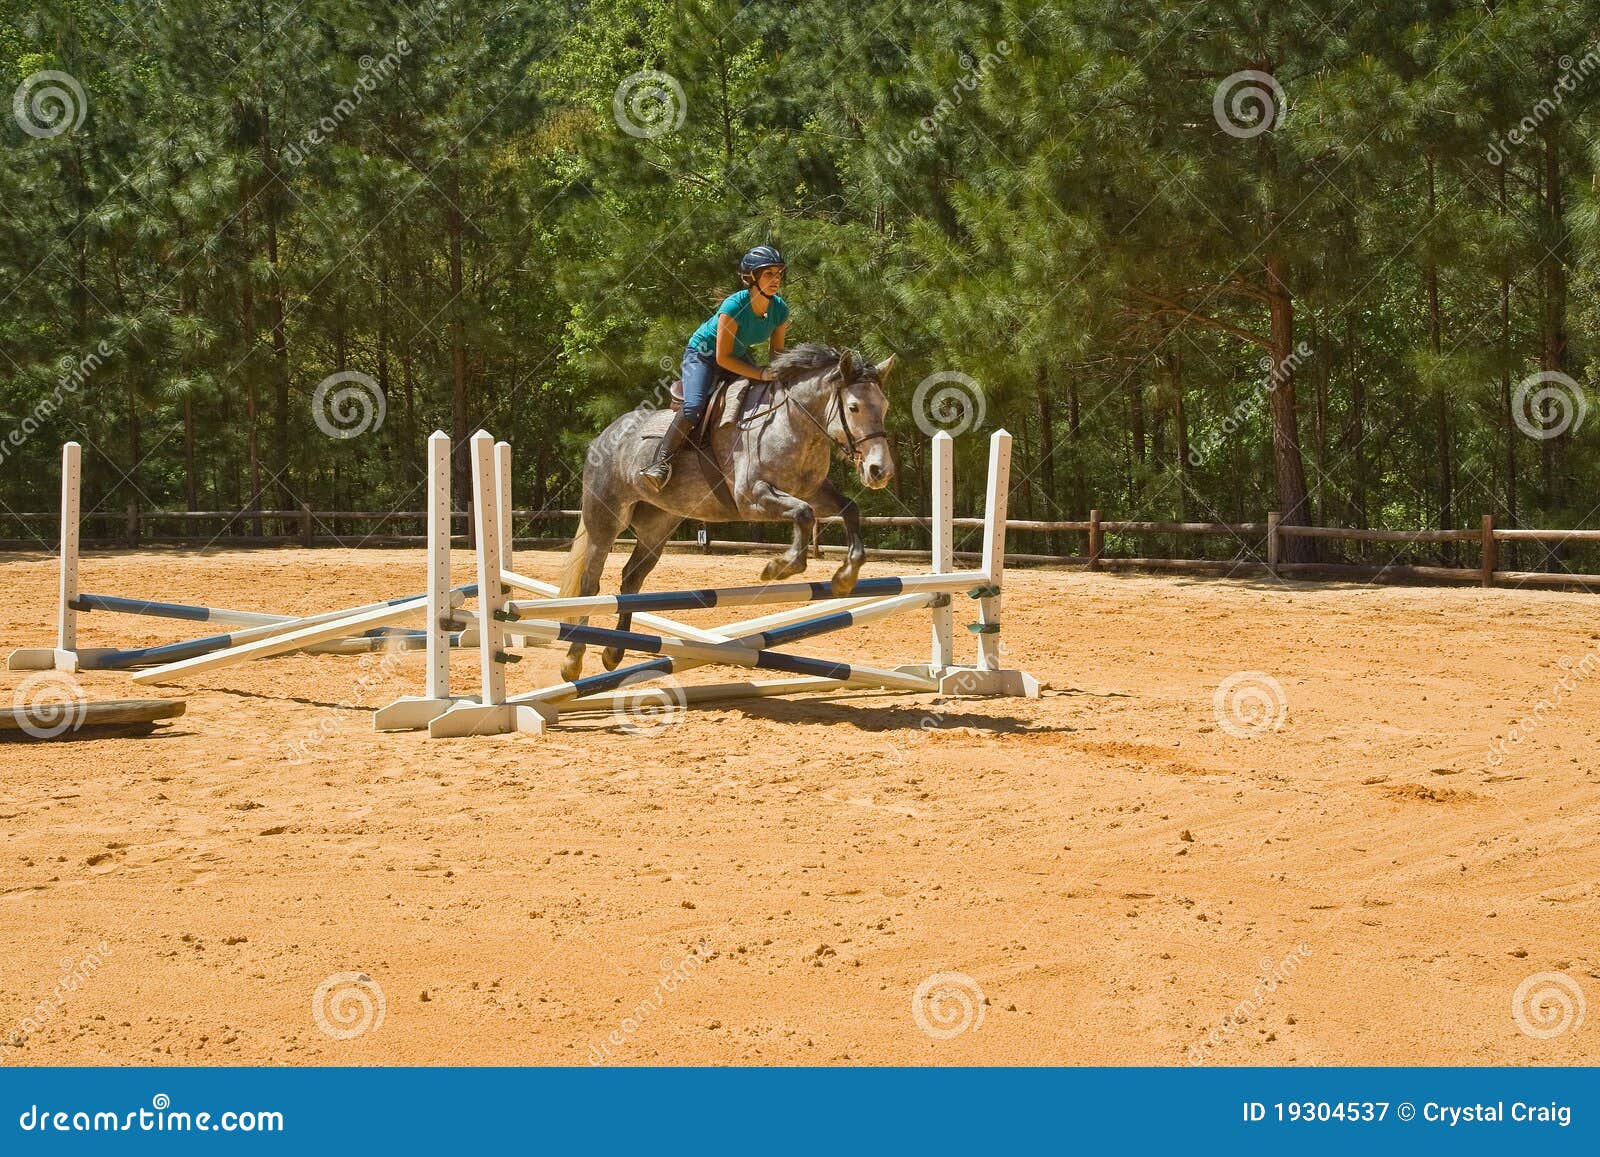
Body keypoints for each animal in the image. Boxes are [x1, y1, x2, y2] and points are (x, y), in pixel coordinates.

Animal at [555, 342, 898, 682]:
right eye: (853, 407)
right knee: (591, 583)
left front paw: (845, 578)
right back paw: (573, 660)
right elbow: (803, 514)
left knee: (631, 578)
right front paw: (778, 568)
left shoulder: (814, 492)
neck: (791, 424)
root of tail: (604, 436)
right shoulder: (751, 498)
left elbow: (849, 509)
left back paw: (613, 653)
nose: (880, 471)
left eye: (884, 407)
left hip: (658, 526)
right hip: (605, 518)